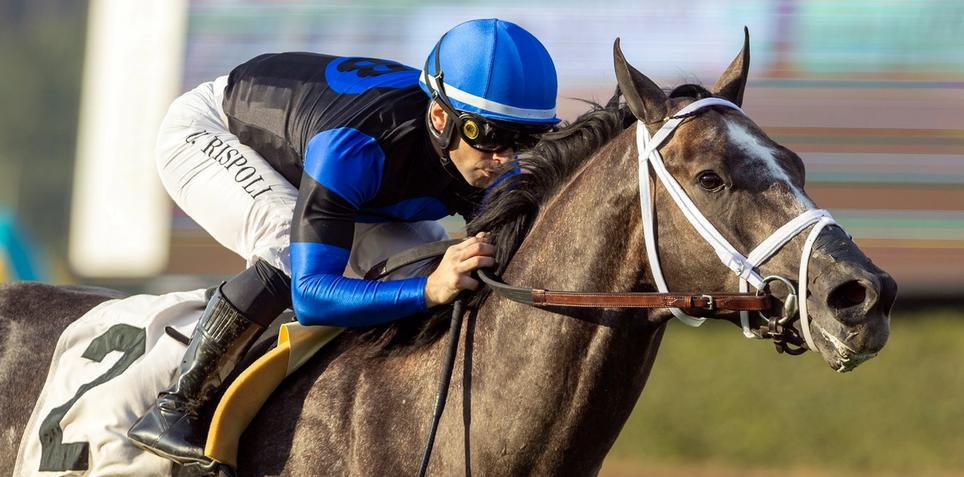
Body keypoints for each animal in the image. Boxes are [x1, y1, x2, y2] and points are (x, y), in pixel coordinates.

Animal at [0, 32, 895, 476]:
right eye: (710, 175)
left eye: (796, 162)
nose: (862, 295)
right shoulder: (347, 153)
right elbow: (309, 277)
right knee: (277, 250)